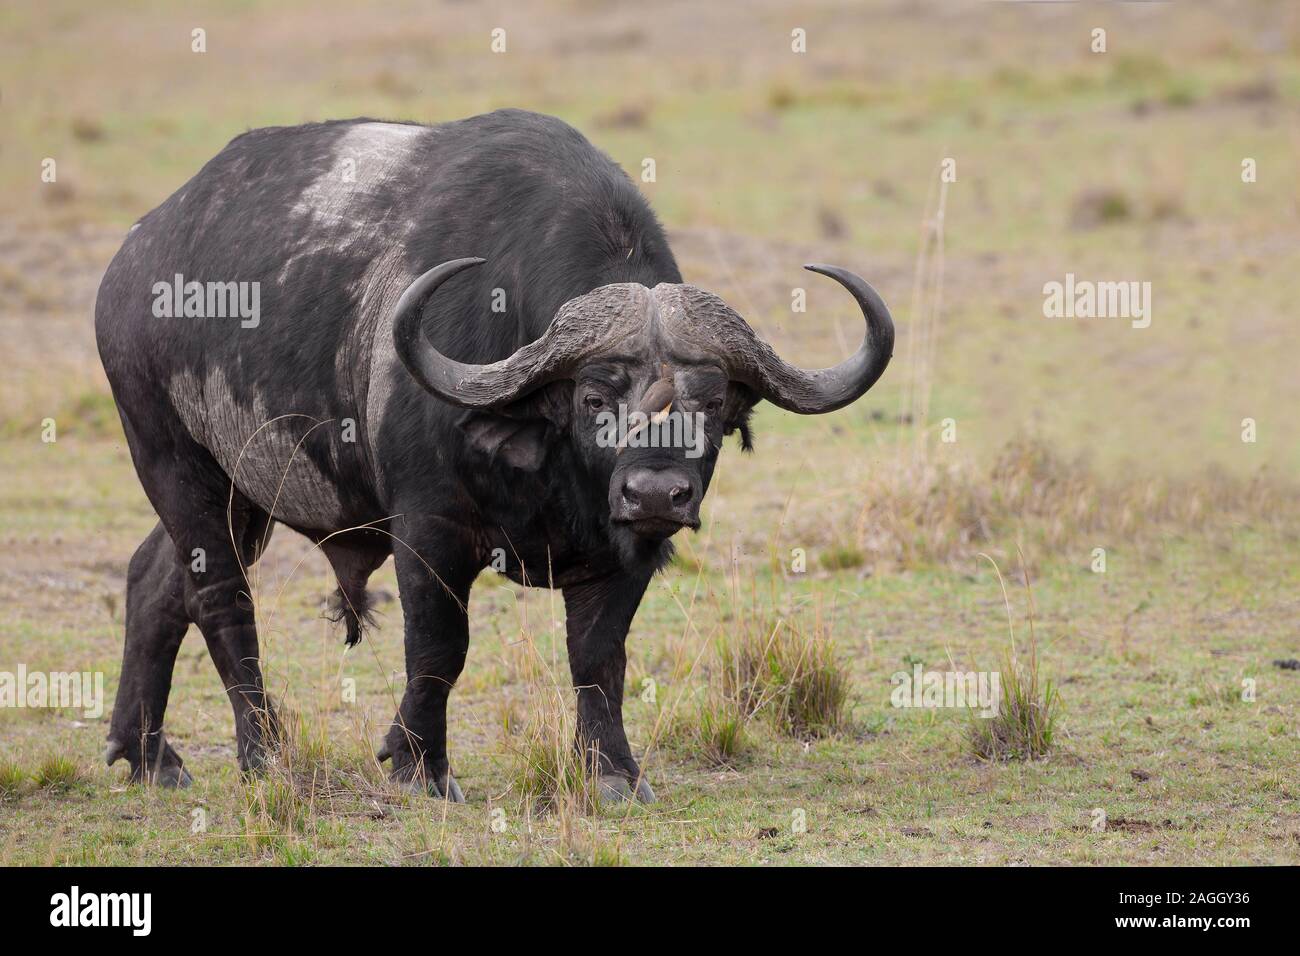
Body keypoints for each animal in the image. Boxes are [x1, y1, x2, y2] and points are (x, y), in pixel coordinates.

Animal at [95, 109, 893, 802]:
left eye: (712, 405)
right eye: (594, 398)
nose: (655, 493)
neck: (551, 465)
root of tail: (133, 258)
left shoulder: (630, 551)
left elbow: (599, 657)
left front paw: (613, 773)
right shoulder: (429, 531)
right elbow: (440, 649)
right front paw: (421, 767)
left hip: (242, 492)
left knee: (154, 579)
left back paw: (150, 756)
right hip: (173, 461)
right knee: (220, 600)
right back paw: (262, 754)